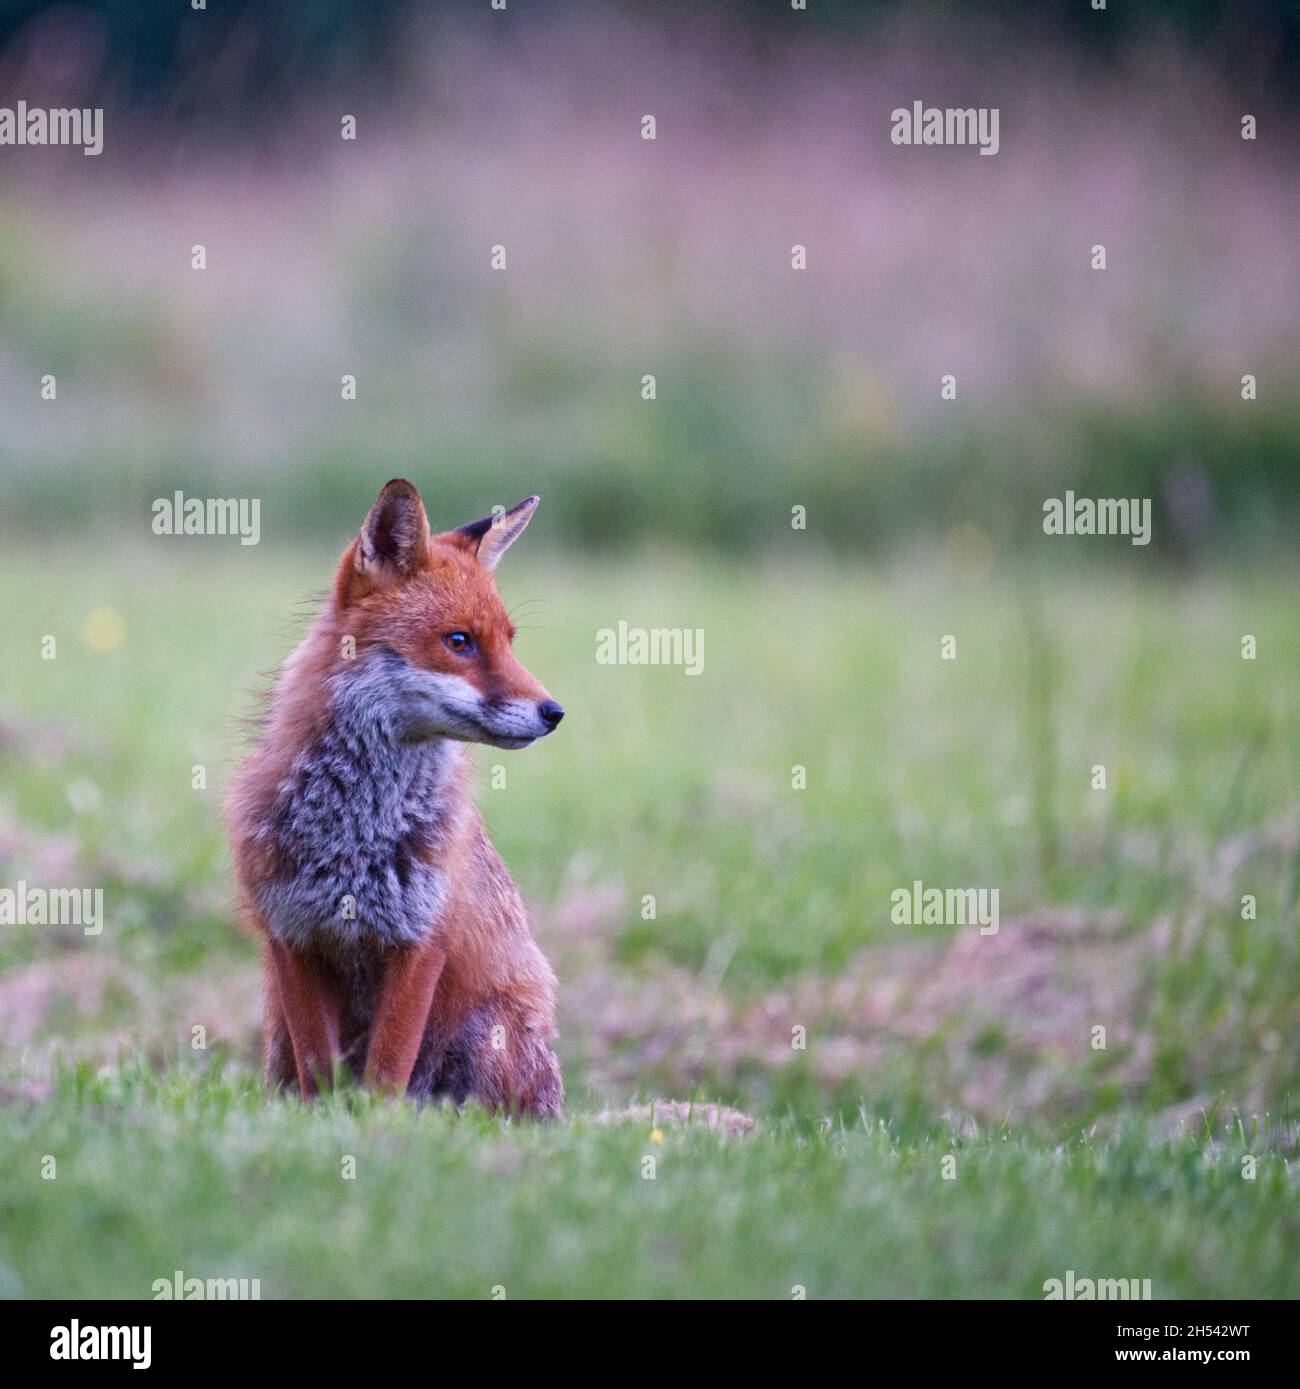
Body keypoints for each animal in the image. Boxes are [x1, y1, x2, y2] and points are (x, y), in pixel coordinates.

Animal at [226, 479, 566, 1117]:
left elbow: (386, 1072)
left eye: (509, 643)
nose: (554, 713)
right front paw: (323, 1125)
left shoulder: (420, 940)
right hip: (277, 1035)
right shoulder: (292, 937)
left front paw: (376, 1127)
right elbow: (320, 1071)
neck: (355, 829)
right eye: (459, 642)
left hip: (488, 1033)